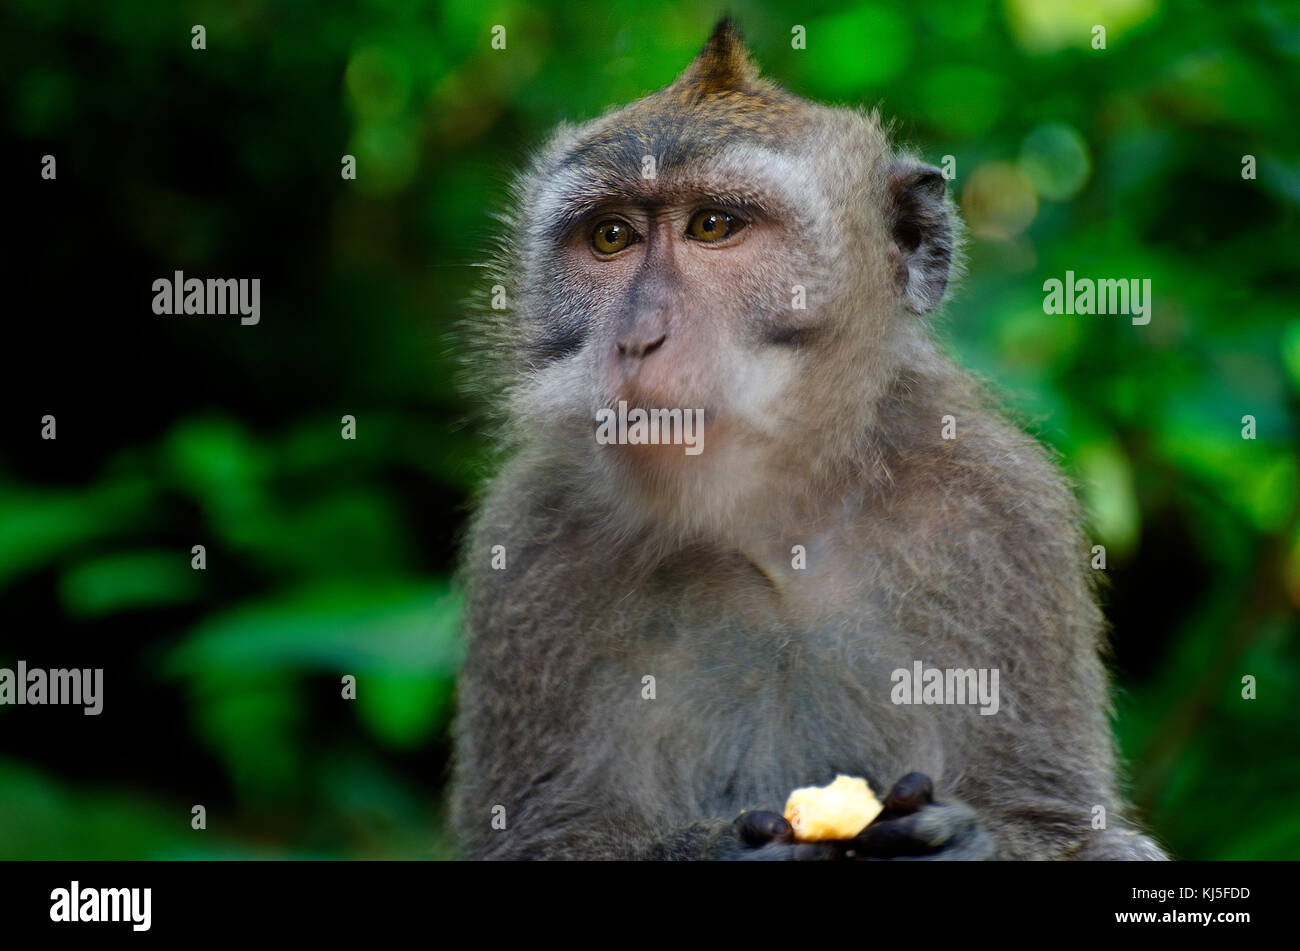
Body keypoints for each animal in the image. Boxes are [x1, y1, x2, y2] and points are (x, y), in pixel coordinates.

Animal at [450, 18, 1167, 861]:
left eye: (714, 226)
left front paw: (960, 843)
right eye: (610, 237)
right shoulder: (529, 545)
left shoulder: (999, 512)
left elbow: (1071, 824)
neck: (773, 529)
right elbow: (532, 836)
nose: (640, 336)